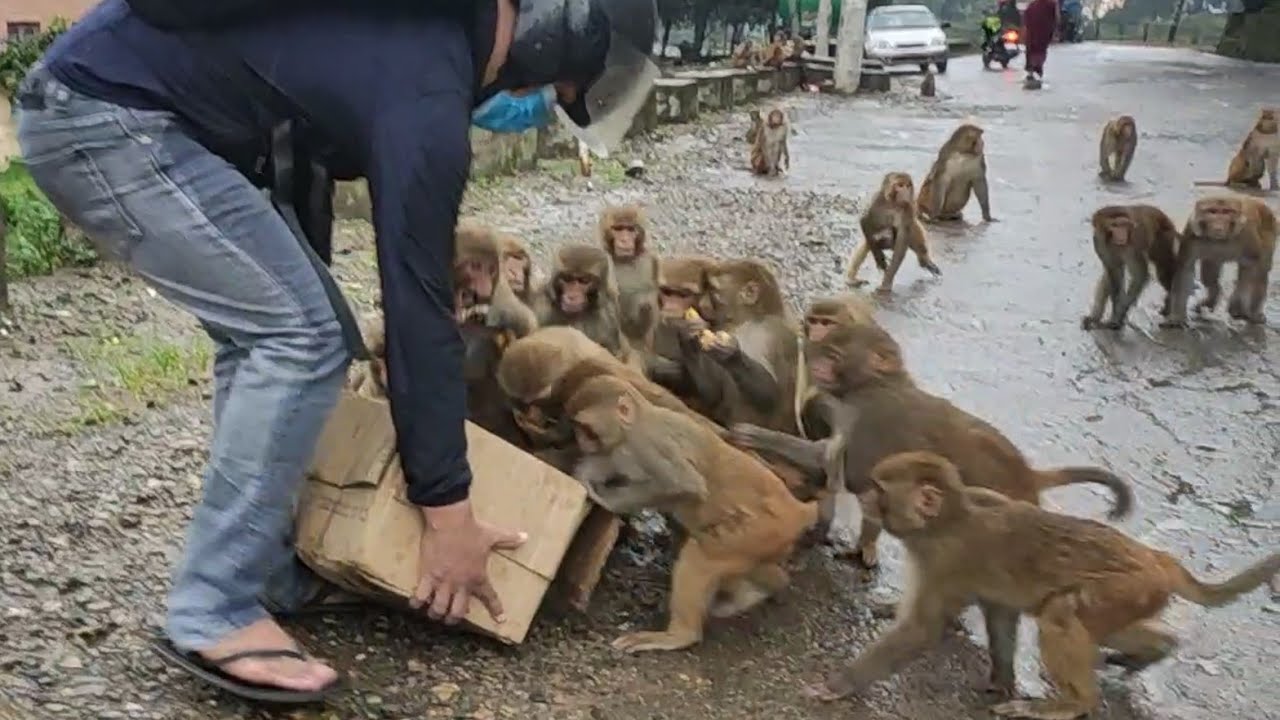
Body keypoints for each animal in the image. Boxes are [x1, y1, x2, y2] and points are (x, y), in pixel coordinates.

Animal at [565, 374, 820, 653]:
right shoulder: (618, 450)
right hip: (766, 540)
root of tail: (798, 510)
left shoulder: (648, 445)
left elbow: (684, 485)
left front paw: (607, 499)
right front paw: (585, 473)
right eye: (578, 430)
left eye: (587, 430)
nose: (580, 440)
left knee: (700, 557)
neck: (638, 422)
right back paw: (764, 587)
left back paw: (679, 635)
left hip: (760, 530)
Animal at [804, 450, 1280, 719]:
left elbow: (921, 630)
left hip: (1125, 590)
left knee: (1061, 613)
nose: (863, 493)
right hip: (1139, 597)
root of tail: (1156, 559)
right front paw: (1001, 677)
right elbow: (1000, 612)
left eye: (880, 487)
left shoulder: (946, 562)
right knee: (1105, 626)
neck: (947, 521)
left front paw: (837, 685)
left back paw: (1073, 705)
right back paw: (1155, 649)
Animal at [1161, 194, 1277, 328]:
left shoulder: (1247, 235)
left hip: (1270, 230)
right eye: (1212, 211)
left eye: (1226, 212)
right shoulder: (1191, 233)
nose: (1219, 223)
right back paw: (1213, 296)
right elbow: (1186, 268)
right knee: (1210, 267)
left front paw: (1236, 304)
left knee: (1261, 269)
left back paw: (1253, 312)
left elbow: (1254, 265)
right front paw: (1177, 317)